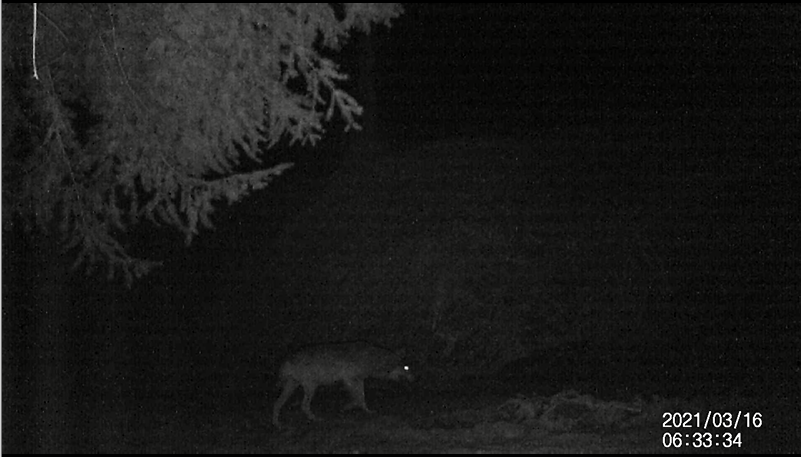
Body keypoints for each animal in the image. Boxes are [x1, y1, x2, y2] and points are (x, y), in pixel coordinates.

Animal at [271, 341, 413, 427]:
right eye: (406, 368)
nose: (414, 378)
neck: (373, 360)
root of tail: (288, 359)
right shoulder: (349, 379)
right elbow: (358, 397)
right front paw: (348, 407)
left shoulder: (358, 380)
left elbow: (362, 397)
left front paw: (367, 411)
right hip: (311, 386)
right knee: (303, 406)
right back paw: (316, 419)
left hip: (293, 387)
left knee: (277, 404)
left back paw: (277, 424)